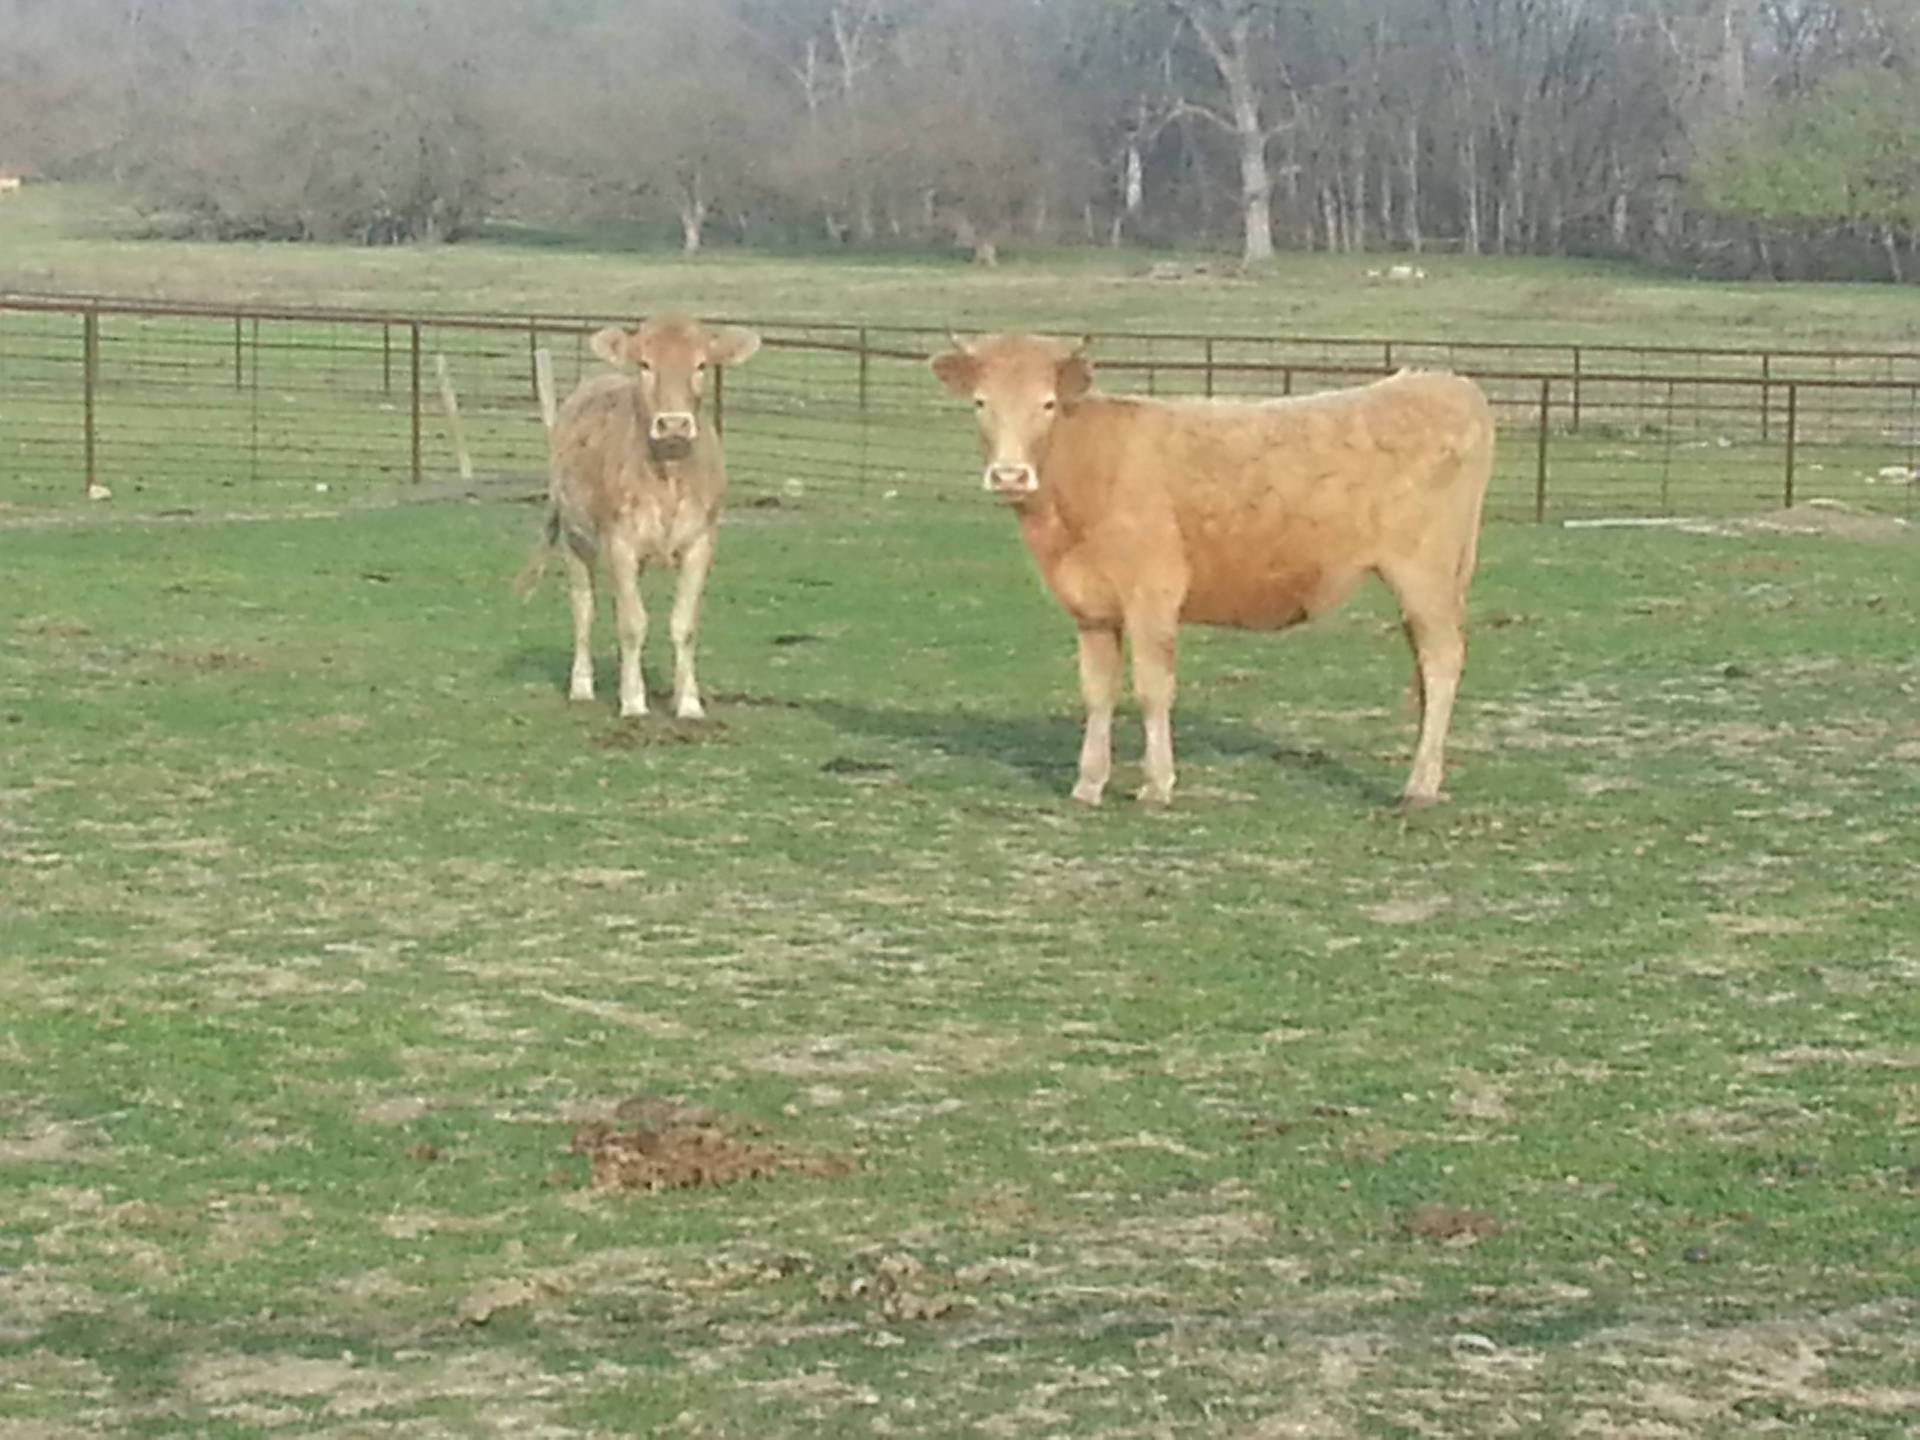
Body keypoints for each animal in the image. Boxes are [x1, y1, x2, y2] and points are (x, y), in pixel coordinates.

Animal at [517, 315, 761, 719]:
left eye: (701, 365)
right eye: (645, 364)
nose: (674, 424)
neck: (669, 478)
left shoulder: (700, 543)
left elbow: (683, 625)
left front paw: (687, 701)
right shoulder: (620, 543)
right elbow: (632, 623)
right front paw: (633, 701)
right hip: (574, 537)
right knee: (584, 608)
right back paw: (582, 686)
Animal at [929, 334, 1494, 809]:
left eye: (1047, 403)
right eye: (981, 402)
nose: (1009, 475)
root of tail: (1442, 381)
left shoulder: (1153, 594)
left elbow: (1152, 688)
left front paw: (1157, 785)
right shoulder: (1091, 608)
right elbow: (1097, 691)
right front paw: (1089, 783)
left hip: (1423, 573)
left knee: (1442, 660)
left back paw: (1419, 786)